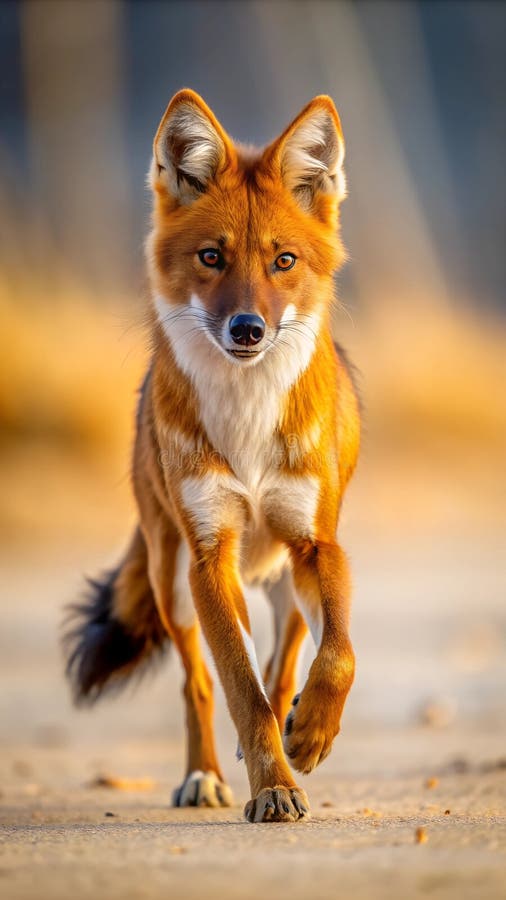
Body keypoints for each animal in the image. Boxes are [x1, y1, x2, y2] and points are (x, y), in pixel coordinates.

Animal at [64, 89, 360, 823]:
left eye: (283, 261)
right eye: (210, 257)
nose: (248, 329)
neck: (247, 420)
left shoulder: (317, 545)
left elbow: (335, 658)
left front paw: (309, 736)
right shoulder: (209, 557)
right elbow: (237, 691)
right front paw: (273, 786)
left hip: (283, 587)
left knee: (284, 668)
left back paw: (295, 723)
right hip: (173, 580)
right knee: (199, 685)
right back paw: (204, 777)